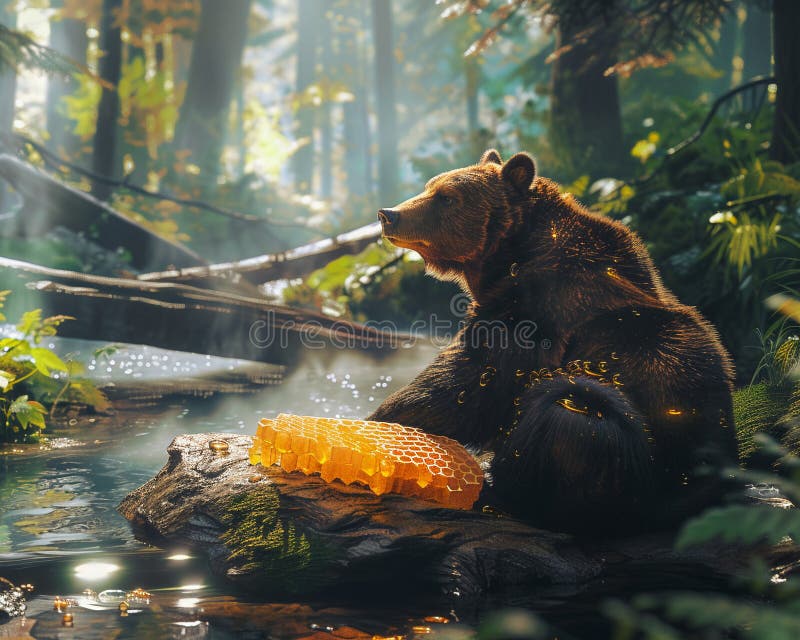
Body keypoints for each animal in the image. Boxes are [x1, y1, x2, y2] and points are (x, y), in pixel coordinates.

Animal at [369, 149, 738, 534]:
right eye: (430, 187)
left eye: (447, 197)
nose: (389, 215)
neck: (510, 258)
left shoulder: (537, 311)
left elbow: (469, 382)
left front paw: (387, 420)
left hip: (637, 453)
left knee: (566, 409)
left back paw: (502, 488)